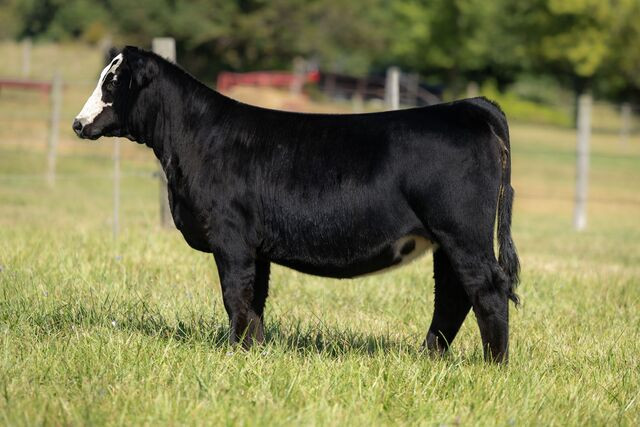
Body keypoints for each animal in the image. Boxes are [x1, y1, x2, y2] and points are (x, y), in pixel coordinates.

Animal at [73, 46, 520, 363]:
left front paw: (235, 354)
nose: (78, 124)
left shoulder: (231, 236)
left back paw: (494, 366)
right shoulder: (256, 247)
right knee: (453, 294)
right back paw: (429, 358)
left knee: (486, 288)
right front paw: (253, 352)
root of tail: (469, 106)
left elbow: (235, 296)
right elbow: (254, 299)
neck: (192, 139)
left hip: (462, 232)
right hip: (447, 239)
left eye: (112, 82)